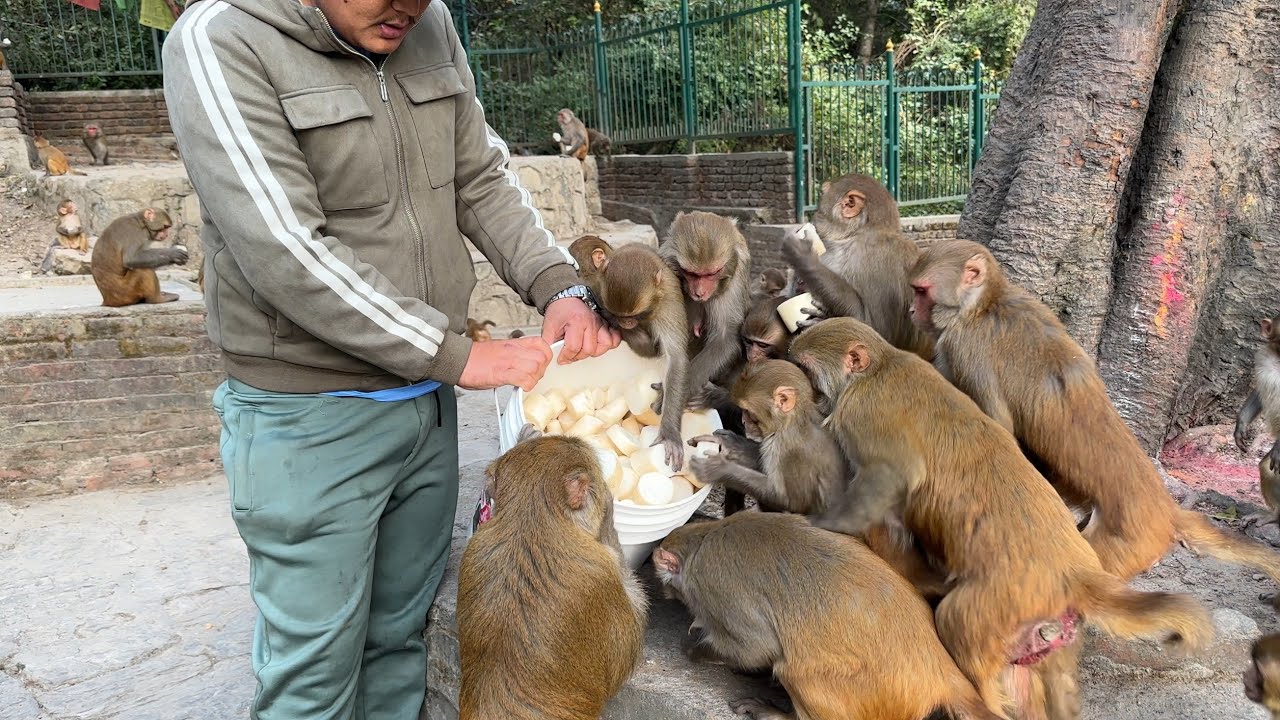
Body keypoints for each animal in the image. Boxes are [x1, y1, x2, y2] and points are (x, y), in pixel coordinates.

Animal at [572, 236, 690, 470]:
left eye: (635, 314)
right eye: (620, 314)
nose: (625, 323)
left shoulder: (668, 302)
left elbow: (674, 357)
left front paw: (670, 434)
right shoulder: (596, 286)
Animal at [654, 511, 1002, 720]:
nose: (669, 594)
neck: (703, 538)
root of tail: (944, 674)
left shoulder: (714, 586)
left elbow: (756, 647)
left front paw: (700, 651)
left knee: (794, 669)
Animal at [781, 172, 932, 359]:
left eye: (822, 195)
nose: (813, 216)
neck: (857, 234)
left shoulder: (876, 261)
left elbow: (872, 326)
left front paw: (803, 254)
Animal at [788, 317, 1214, 718]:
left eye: (805, 371)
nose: (805, 398)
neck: (880, 367)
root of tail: (1075, 570)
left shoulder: (860, 415)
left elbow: (892, 480)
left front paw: (825, 525)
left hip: (1000, 606)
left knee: (956, 623)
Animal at [910, 241, 1280, 586]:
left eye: (920, 291)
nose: (911, 310)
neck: (985, 305)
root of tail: (1167, 509)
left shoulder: (964, 349)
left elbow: (998, 430)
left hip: (1127, 542)